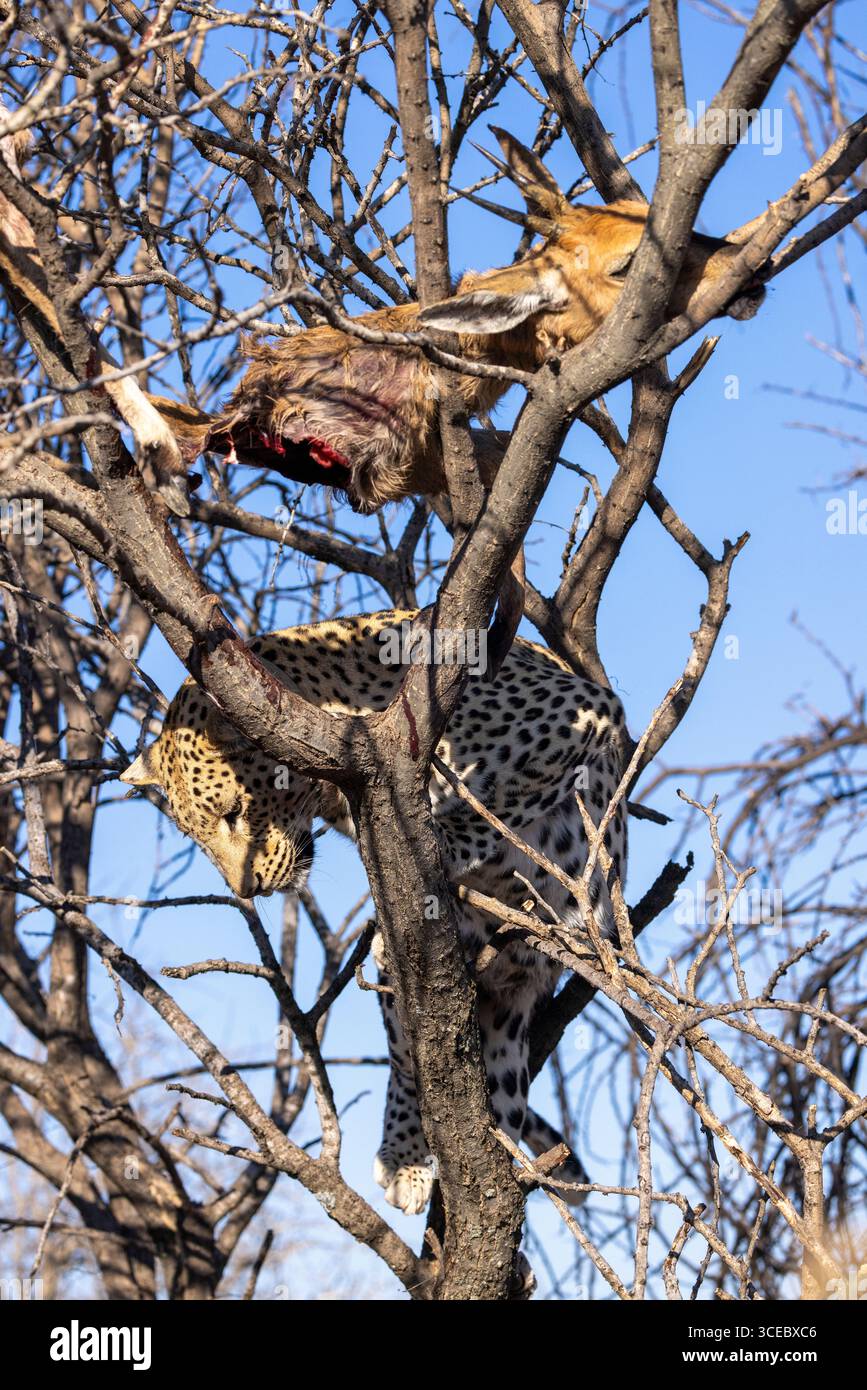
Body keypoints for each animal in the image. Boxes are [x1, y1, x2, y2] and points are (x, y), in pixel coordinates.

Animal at [120, 609, 628, 1217]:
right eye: (195, 836)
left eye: (235, 811)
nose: (248, 889)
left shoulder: (579, 715)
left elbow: (492, 808)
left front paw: (437, 839)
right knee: (414, 1061)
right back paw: (407, 1155)